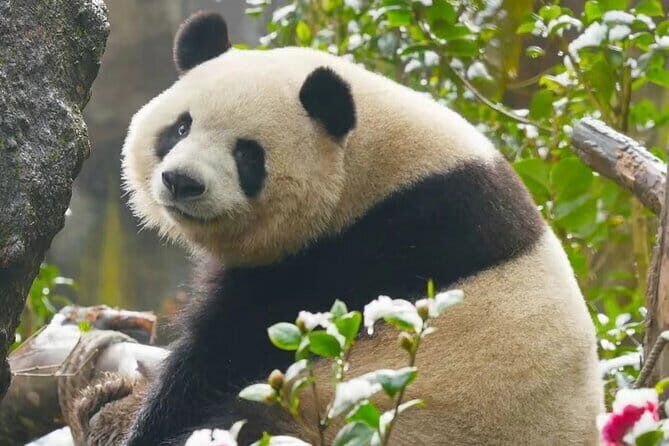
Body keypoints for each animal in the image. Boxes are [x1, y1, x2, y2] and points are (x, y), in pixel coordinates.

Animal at [113, 11, 604, 446]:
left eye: (247, 154)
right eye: (180, 127)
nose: (182, 182)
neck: (368, 164)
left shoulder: (368, 250)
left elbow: (227, 354)